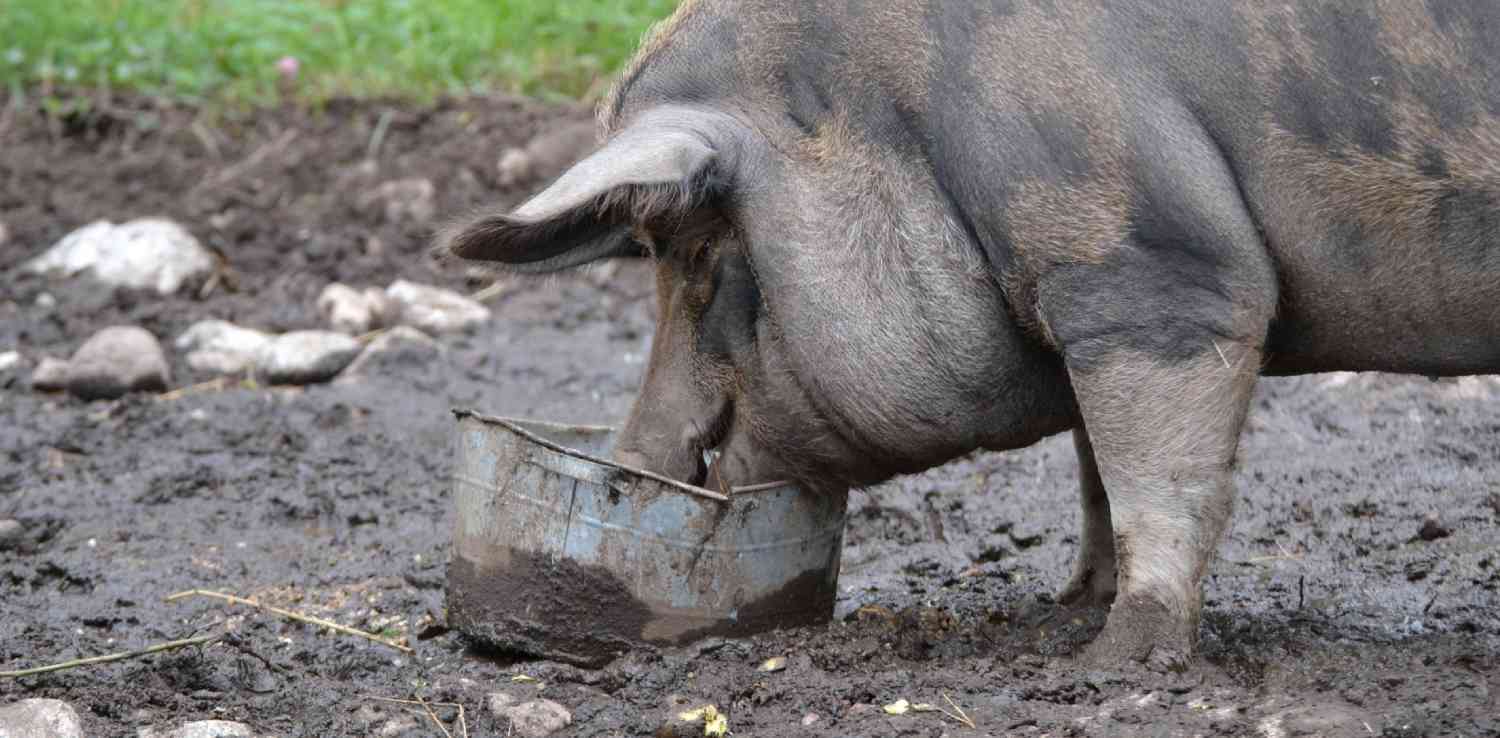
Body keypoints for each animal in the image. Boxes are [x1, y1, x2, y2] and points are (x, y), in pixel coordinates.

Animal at [439, 0, 1500, 667]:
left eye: (699, 253)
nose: (631, 464)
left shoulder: (1151, 264)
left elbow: (1155, 474)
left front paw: (1113, 661)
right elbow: (1093, 465)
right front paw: (1070, 605)